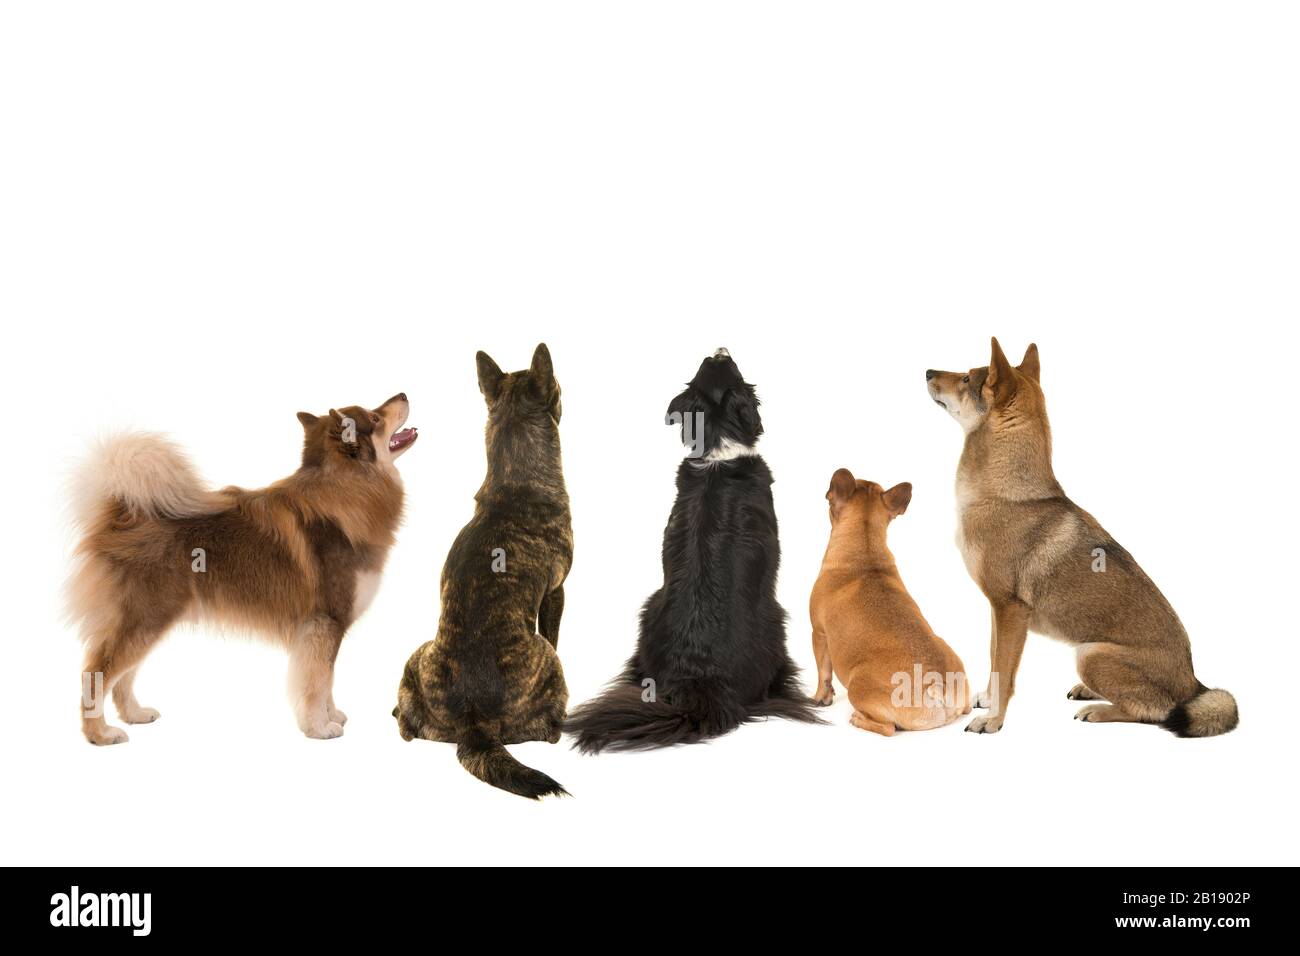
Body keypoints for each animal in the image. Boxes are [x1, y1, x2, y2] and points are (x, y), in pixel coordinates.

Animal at [65, 392, 416, 743]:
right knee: (95, 674)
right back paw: (100, 734)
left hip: (149, 623)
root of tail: (122, 514)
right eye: (375, 417)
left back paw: (135, 715)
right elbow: (316, 682)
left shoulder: (325, 628)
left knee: (123, 676)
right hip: (146, 618)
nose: (402, 394)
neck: (346, 494)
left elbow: (326, 679)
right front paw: (319, 727)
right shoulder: (322, 623)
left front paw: (332, 715)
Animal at [392, 343, 572, 801]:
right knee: (551, 727)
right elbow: (556, 631)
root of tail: (474, 721)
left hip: (418, 654)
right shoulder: (557, 591)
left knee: (405, 724)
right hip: (549, 665)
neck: (515, 482)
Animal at [566, 348, 816, 749]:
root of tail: (699, 682)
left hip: (648, 609)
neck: (717, 447)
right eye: (734, 371)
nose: (720, 348)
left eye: (705, 368)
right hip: (777, 621)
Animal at [806, 468, 972, 738]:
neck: (866, 552)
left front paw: (821, 698)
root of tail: (937, 685)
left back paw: (858, 719)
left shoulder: (818, 633)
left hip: (858, 683)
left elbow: (824, 672)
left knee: (888, 728)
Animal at [930, 340, 1232, 738]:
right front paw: (986, 700)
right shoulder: (997, 610)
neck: (1006, 493)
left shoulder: (1009, 609)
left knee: (1152, 711)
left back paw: (1099, 710)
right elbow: (994, 660)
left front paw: (993, 720)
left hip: (1090, 653)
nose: (927, 372)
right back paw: (1089, 692)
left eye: (966, 378)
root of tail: (1194, 684)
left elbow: (1004, 670)